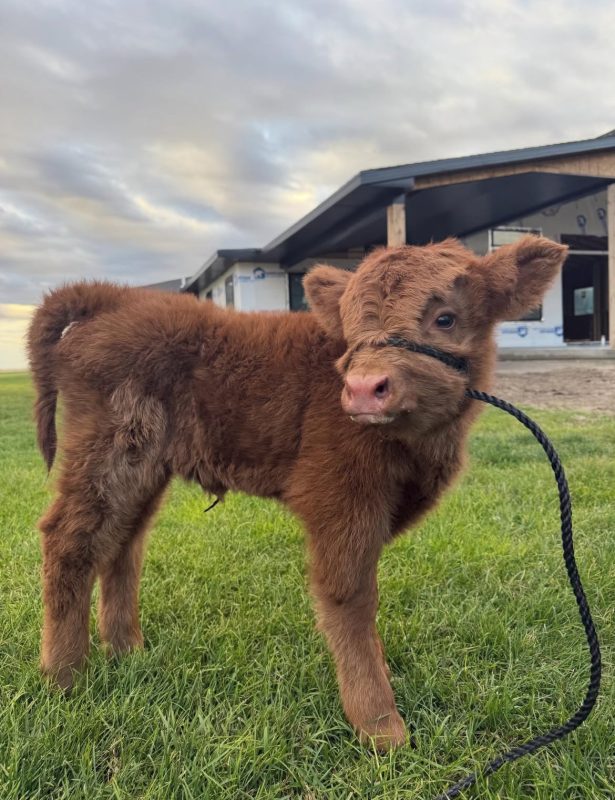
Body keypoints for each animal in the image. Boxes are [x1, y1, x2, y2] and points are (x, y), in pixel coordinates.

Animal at [27, 235, 566, 750]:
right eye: (350, 327)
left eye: (446, 318)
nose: (364, 389)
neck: (421, 450)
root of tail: (119, 298)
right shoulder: (340, 500)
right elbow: (350, 599)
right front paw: (380, 726)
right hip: (110, 451)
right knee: (70, 539)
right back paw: (65, 677)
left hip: (143, 467)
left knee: (123, 541)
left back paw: (126, 652)